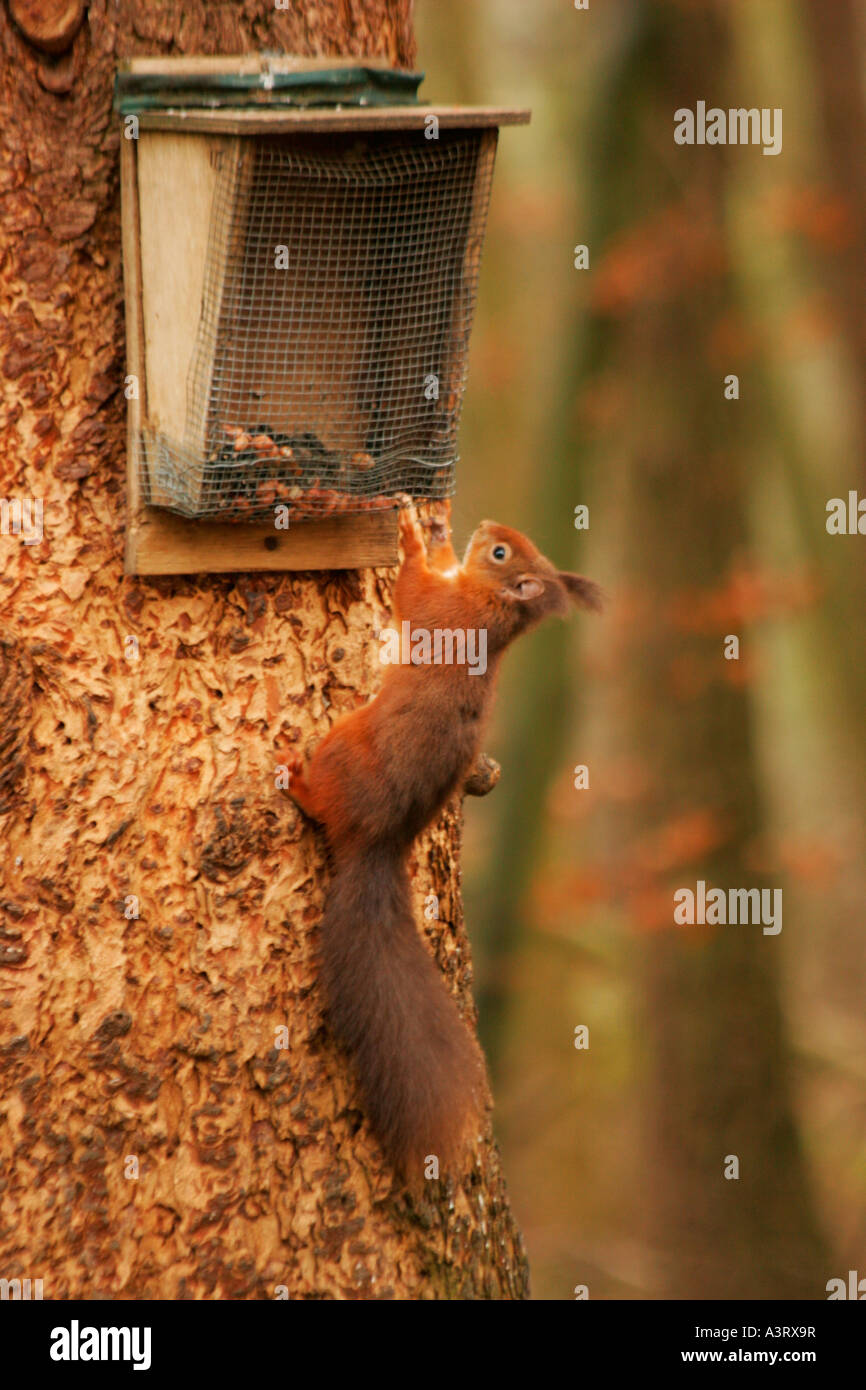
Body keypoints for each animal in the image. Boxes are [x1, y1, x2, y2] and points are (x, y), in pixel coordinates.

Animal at [287, 502, 602, 1188]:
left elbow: (412, 593)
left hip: (342, 745)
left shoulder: (444, 611)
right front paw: (433, 533)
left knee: (317, 799)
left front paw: (408, 537)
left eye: (503, 554)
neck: (492, 606)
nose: (485, 528)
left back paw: (293, 781)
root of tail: (378, 843)